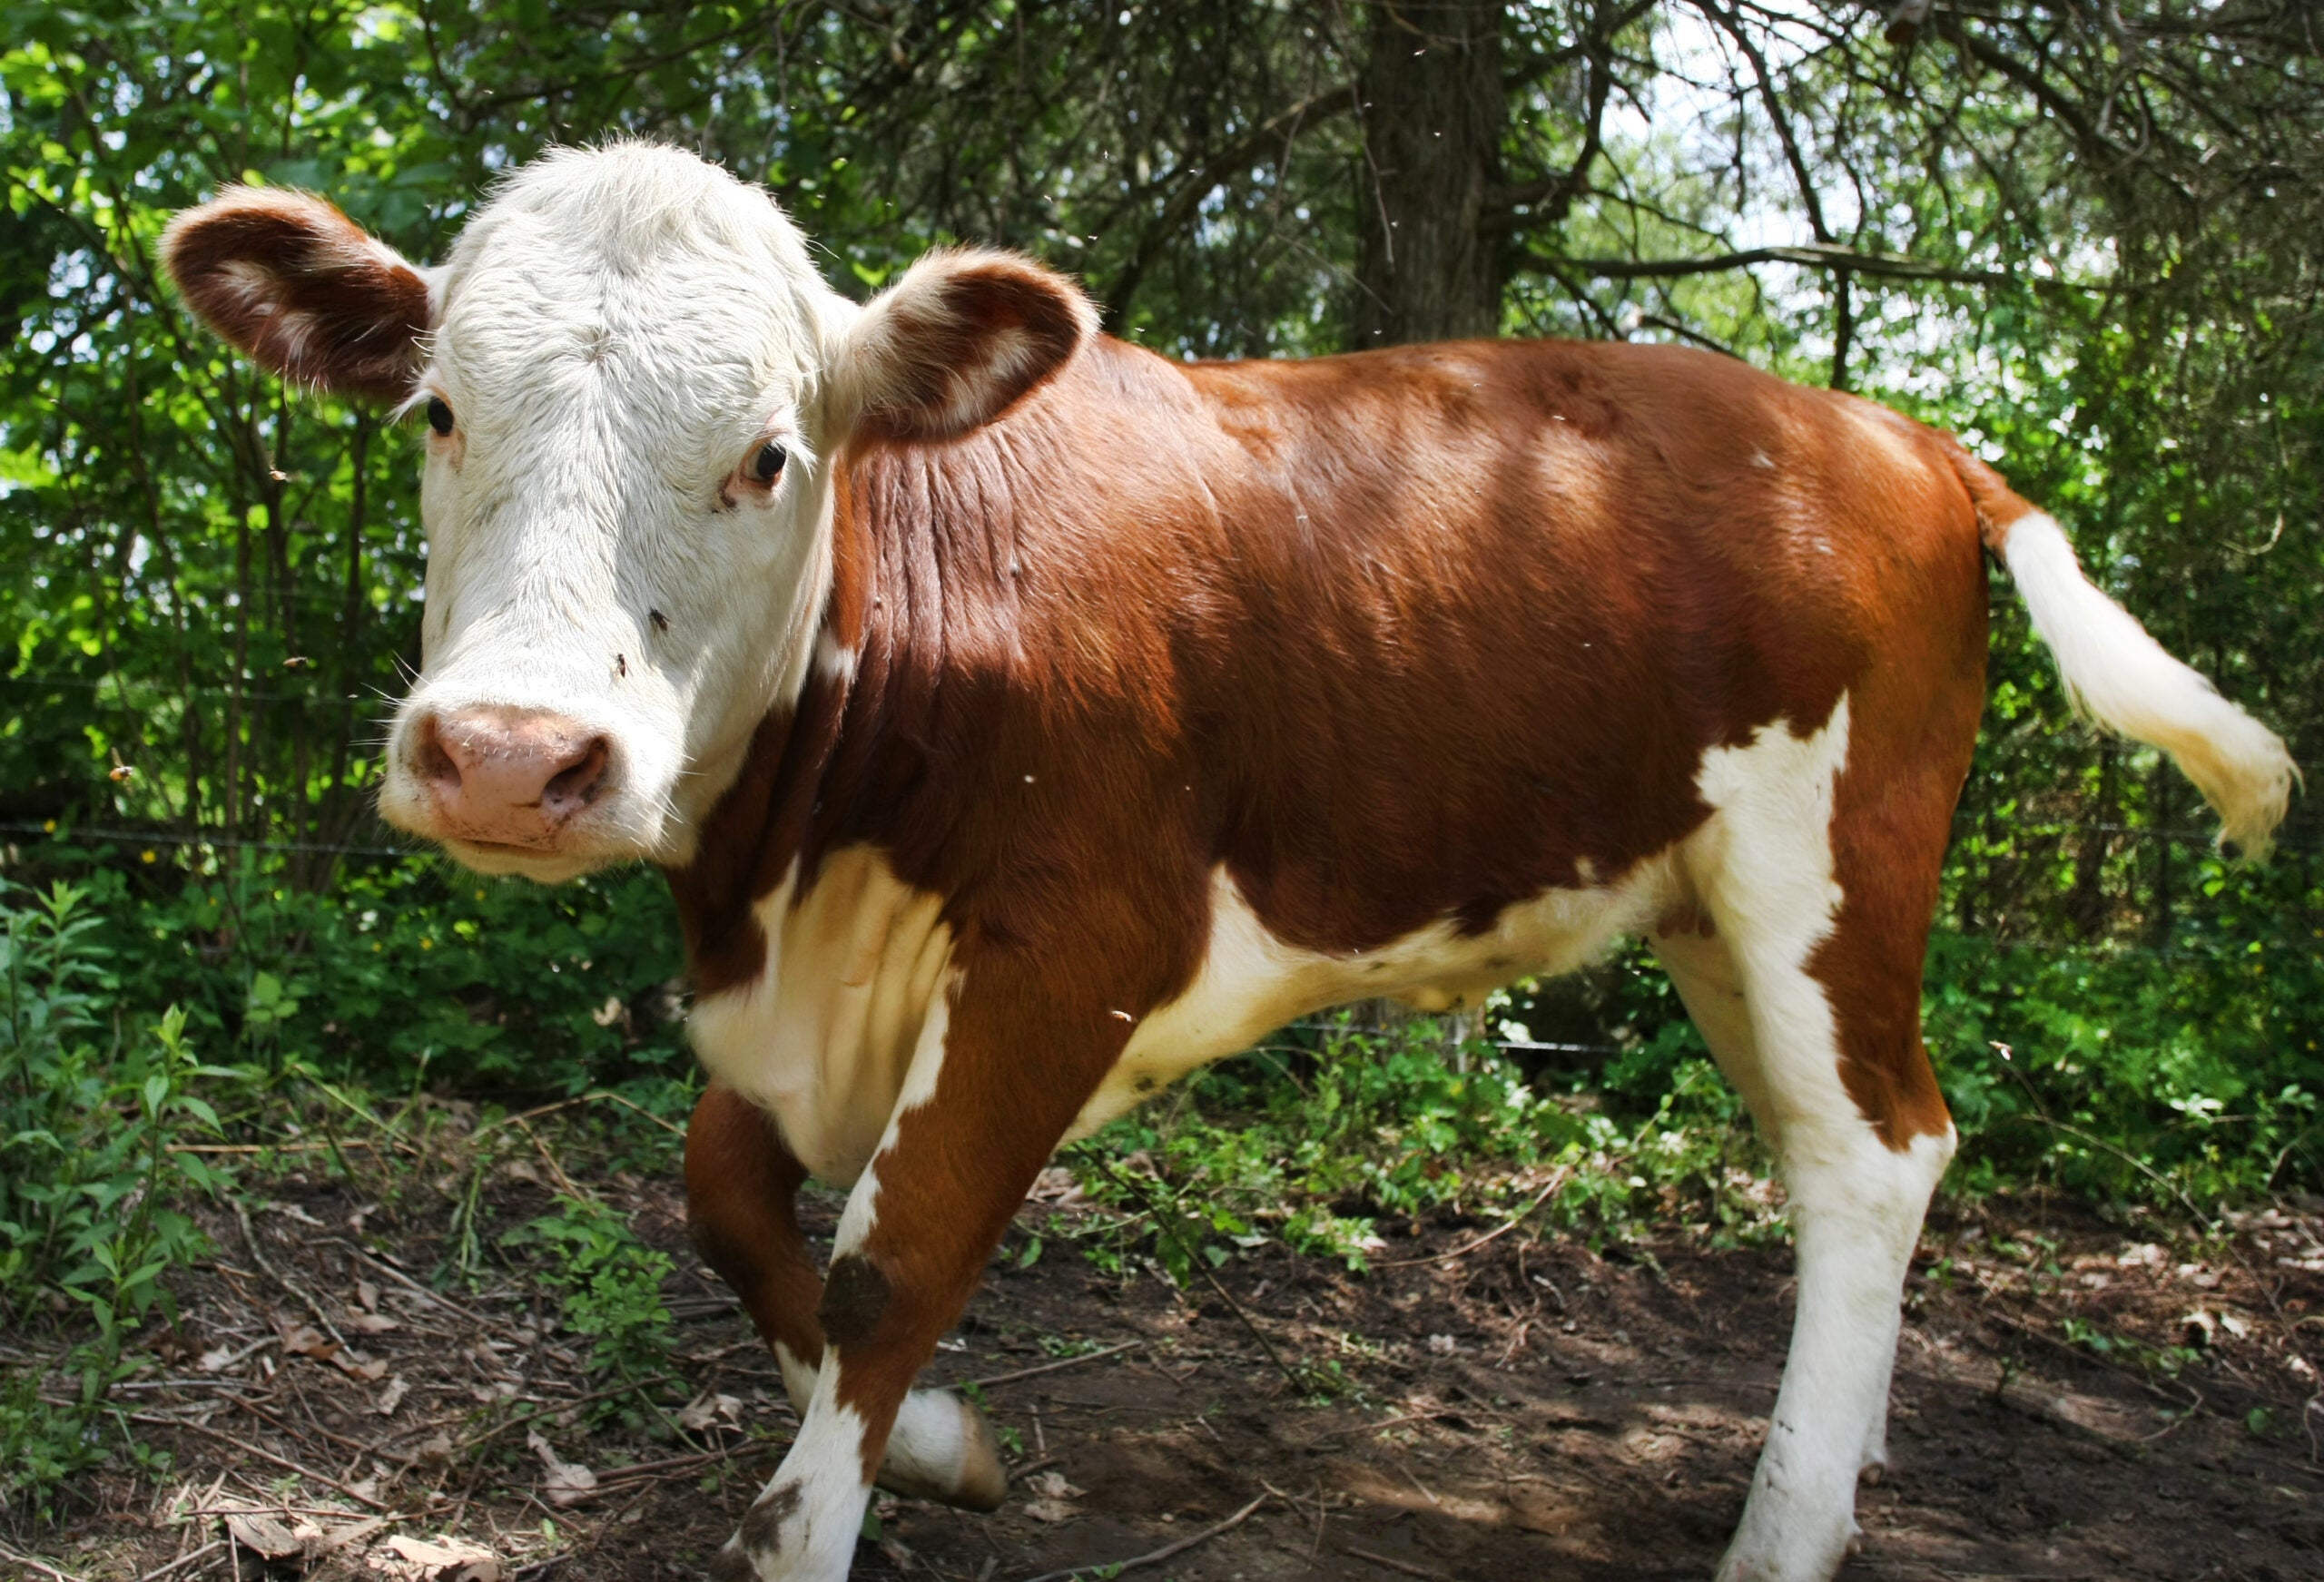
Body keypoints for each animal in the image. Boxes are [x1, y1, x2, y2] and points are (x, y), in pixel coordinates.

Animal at [163, 142, 2292, 1582]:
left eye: (768, 452)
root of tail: (1897, 437)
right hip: (1710, 898)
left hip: (1827, 869)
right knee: (1840, 1145)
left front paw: (819, 1512)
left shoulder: (1077, 938)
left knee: (1873, 1153)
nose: (511, 755)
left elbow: (890, 1255)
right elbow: (726, 1196)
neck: (790, 867)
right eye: (441, 410)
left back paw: (1780, 1532)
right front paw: (940, 1445)